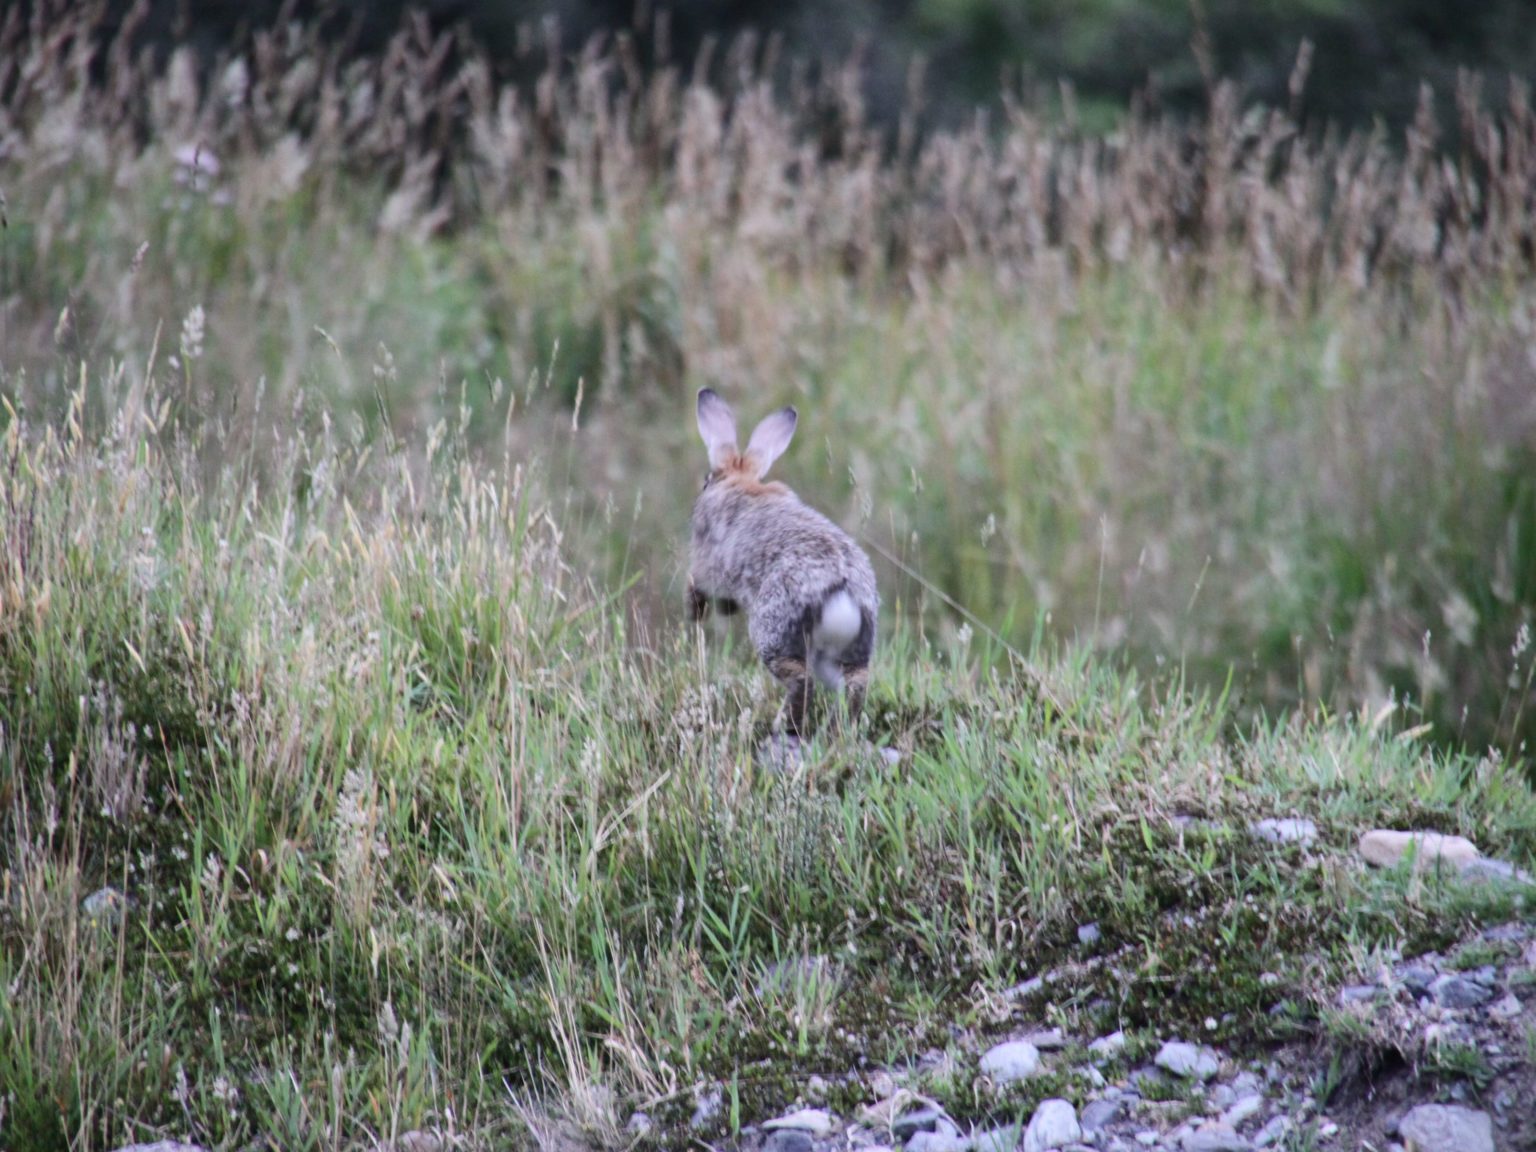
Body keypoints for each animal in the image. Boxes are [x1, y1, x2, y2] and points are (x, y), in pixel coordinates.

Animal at [688, 387, 878, 736]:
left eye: (707, 480)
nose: (705, 484)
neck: (741, 481)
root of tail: (841, 592)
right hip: (845, 651)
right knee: (854, 683)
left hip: (775, 631)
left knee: (801, 681)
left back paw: (781, 726)